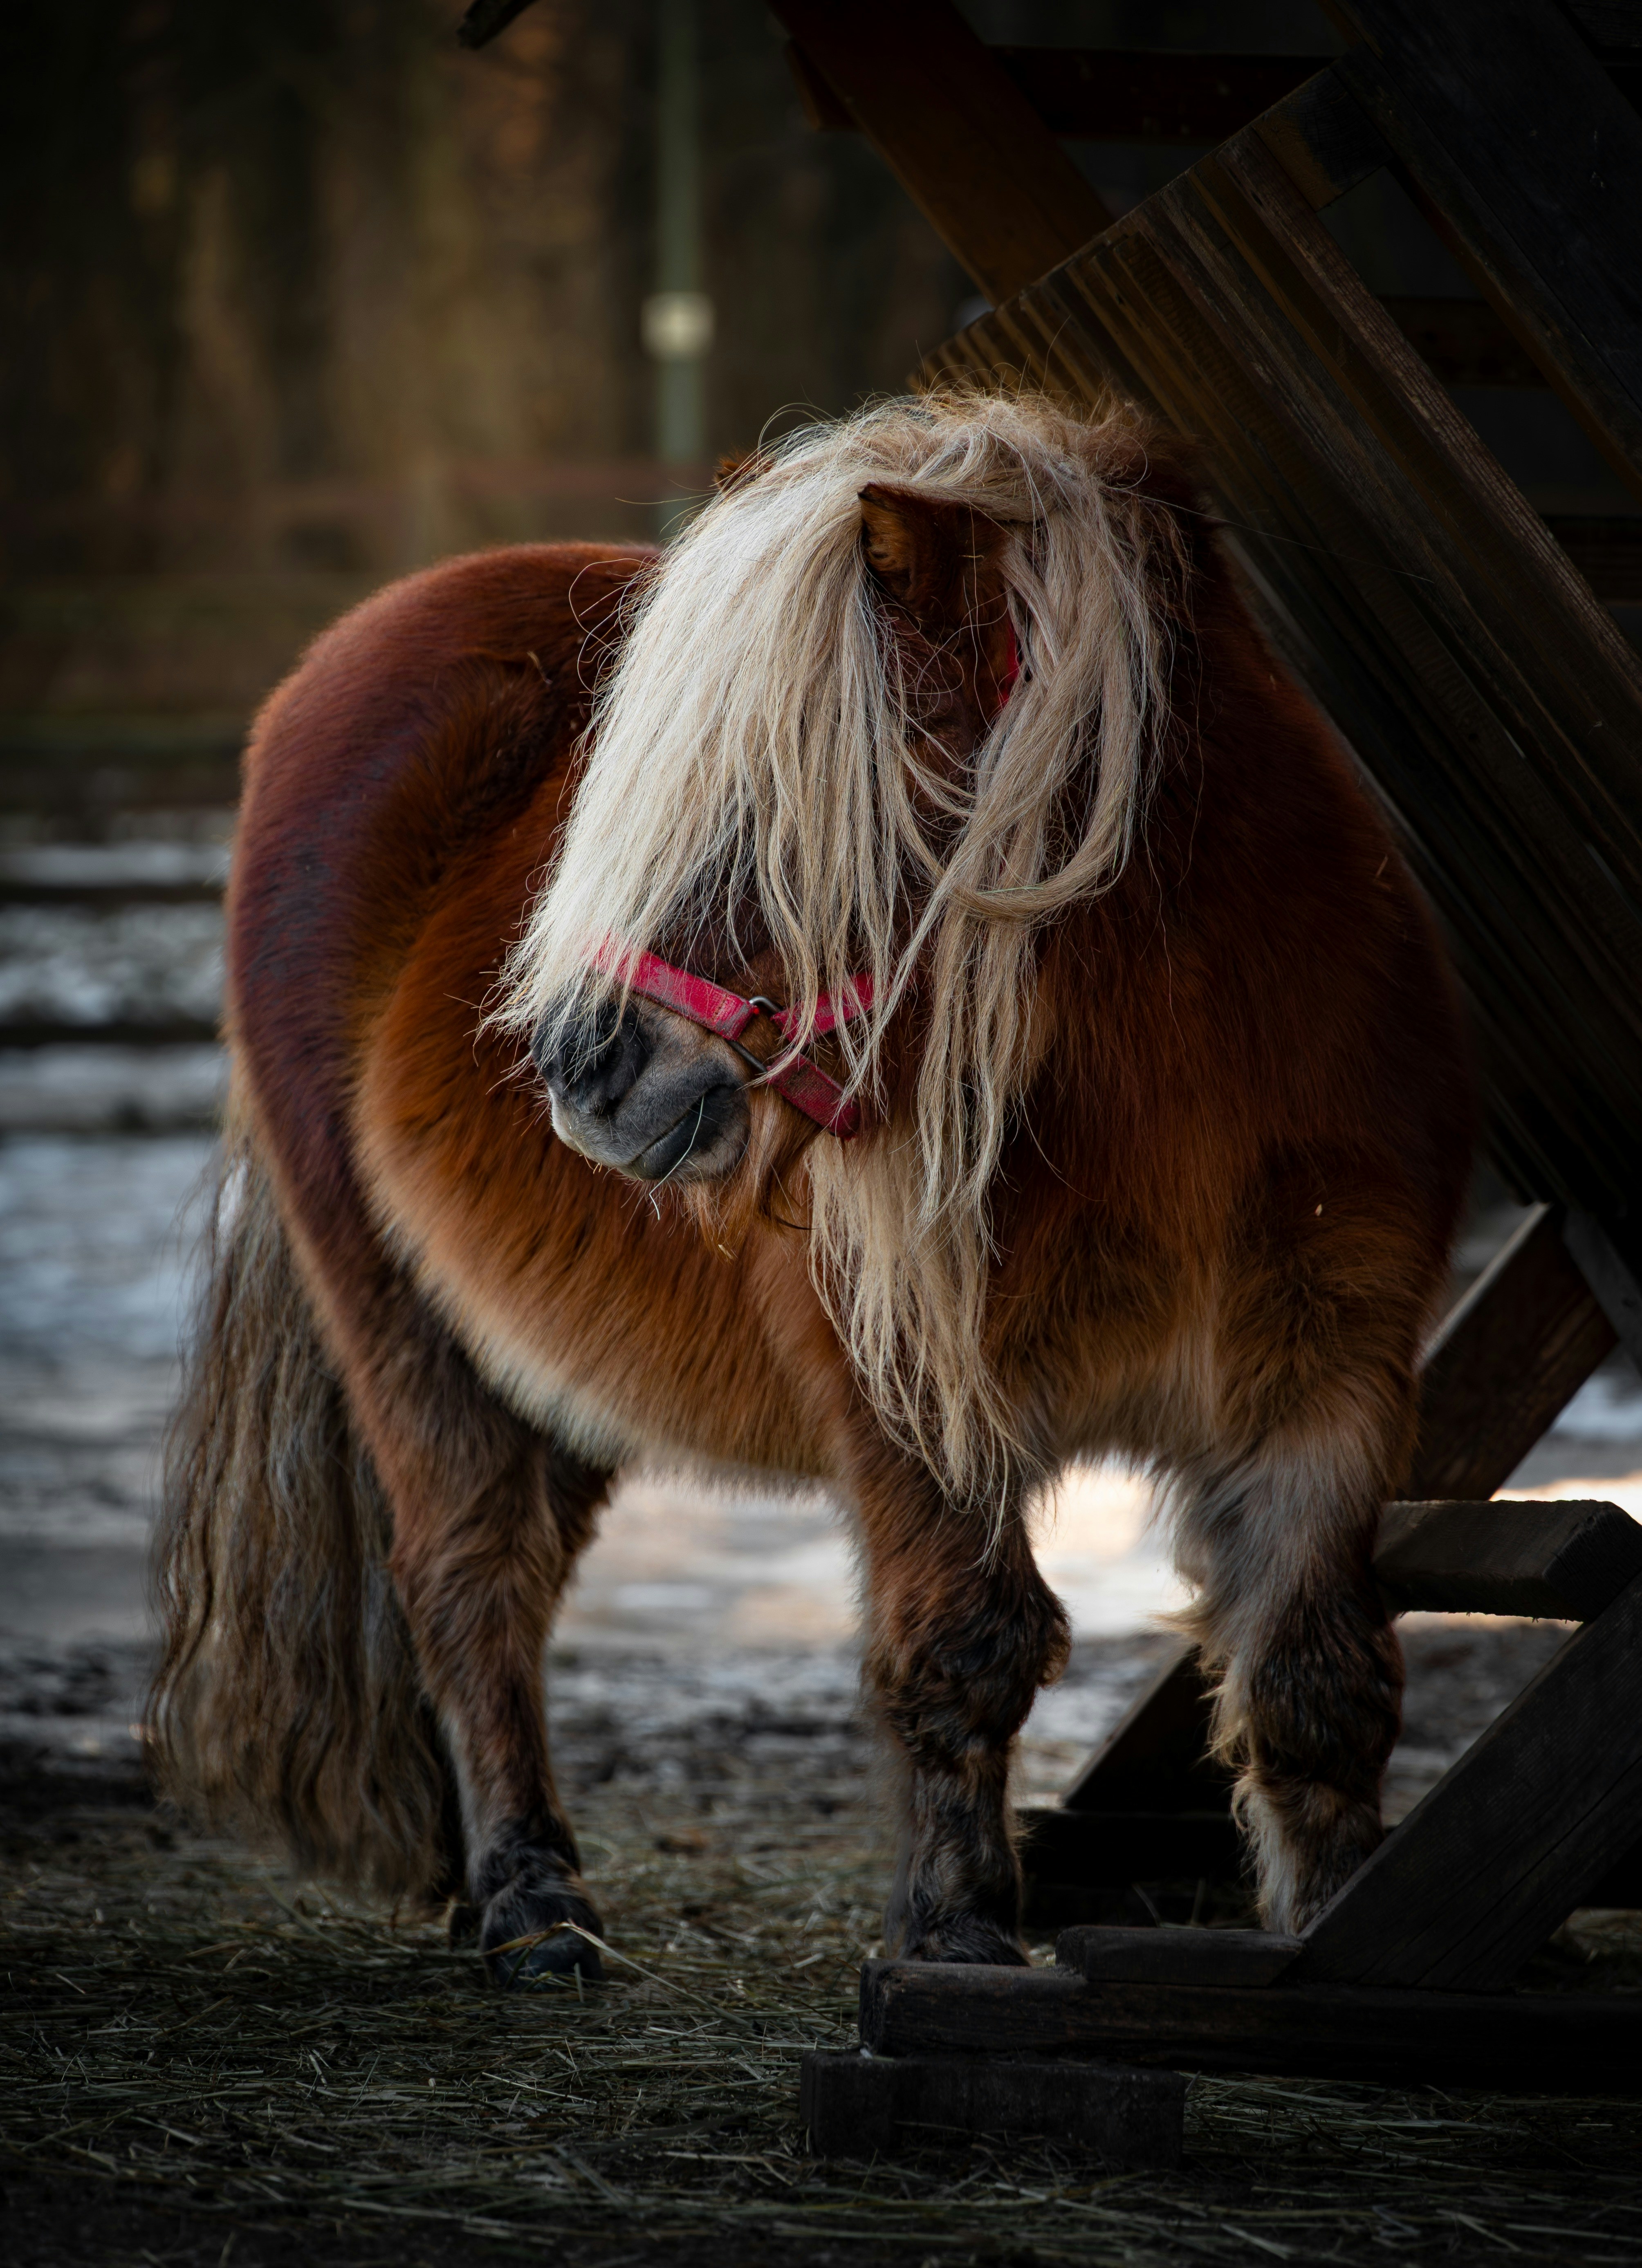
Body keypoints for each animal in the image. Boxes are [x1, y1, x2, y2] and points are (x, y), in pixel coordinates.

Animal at [151, 391, 1473, 1984]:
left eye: (799, 791)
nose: (581, 1061)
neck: (1176, 1089)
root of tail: (342, 653)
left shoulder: (1325, 1387)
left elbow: (1314, 1682)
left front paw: (1339, 1931)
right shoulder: (907, 1400)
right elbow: (966, 1643)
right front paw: (955, 1935)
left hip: (556, 1374)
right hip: (398, 1317)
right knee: (469, 1581)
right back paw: (534, 1899)